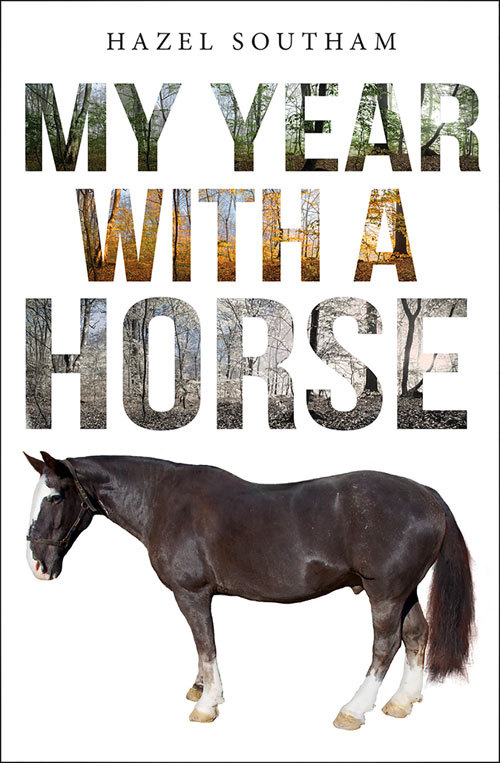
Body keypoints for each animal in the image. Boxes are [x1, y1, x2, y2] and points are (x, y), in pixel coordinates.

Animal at [25, 451, 474, 729]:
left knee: (386, 645)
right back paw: (402, 702)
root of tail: (428, 495)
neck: (163, 502)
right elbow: (202, 647)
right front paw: (199, 688)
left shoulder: (191, 593)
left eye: (55, 497)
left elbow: (206, 644)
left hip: (385, 593)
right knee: (416, 634)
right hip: (405, 590)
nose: (38, 565)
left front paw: (208, 703)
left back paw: (353, 709)